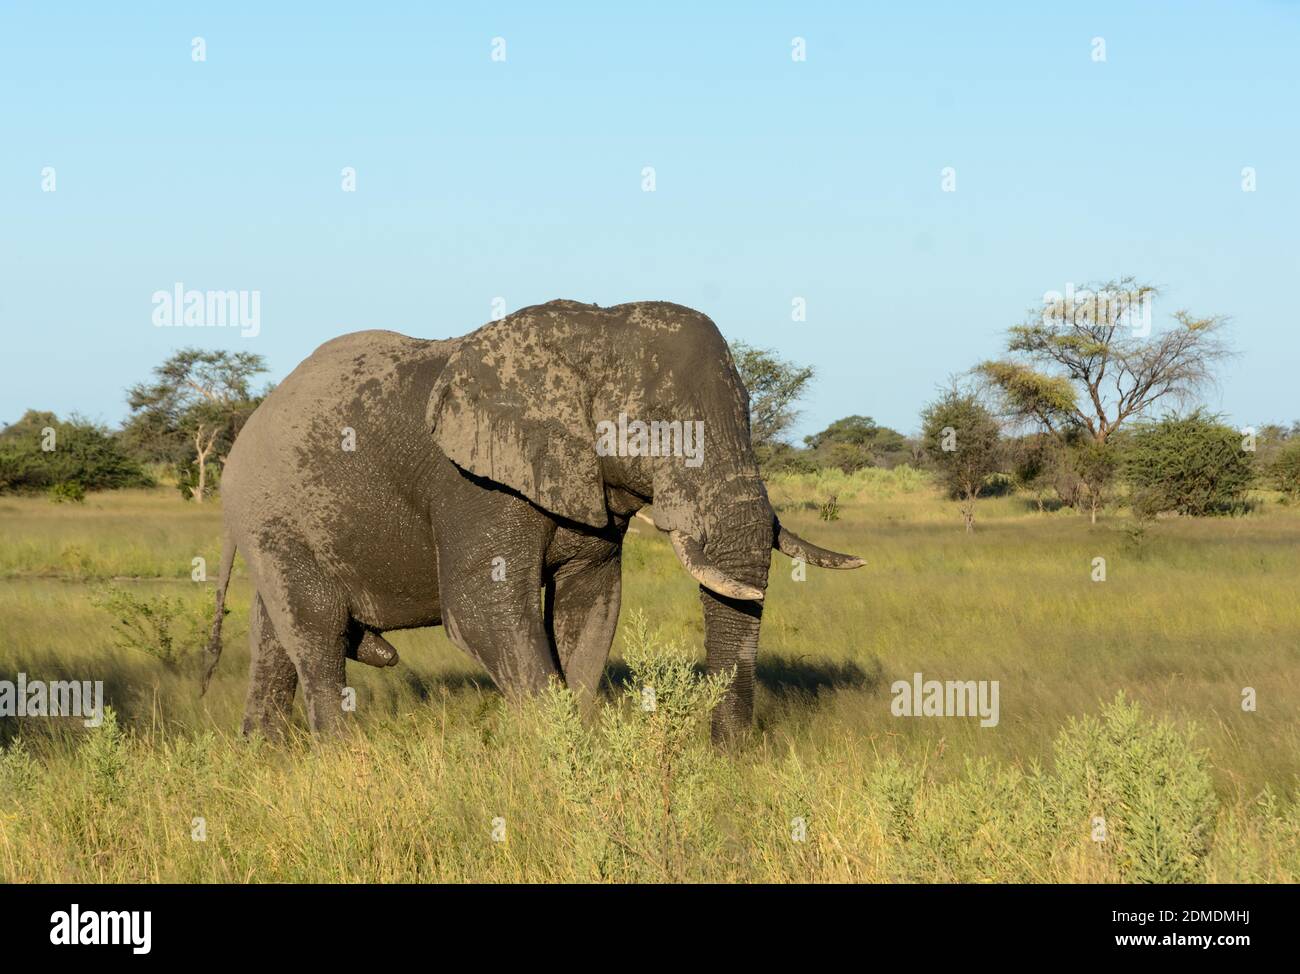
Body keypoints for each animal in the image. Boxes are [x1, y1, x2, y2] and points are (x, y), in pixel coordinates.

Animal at [201, 299, 863, 742]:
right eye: (660, 427)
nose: (727, 753)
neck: (592, 333)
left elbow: (590, 608)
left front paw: (583, 746)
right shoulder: (473, 482)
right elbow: (485, 612)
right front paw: (563, 760)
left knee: (274, 639)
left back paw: (264, 757)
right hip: (270, 515)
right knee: (316, 633)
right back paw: (341, 760)